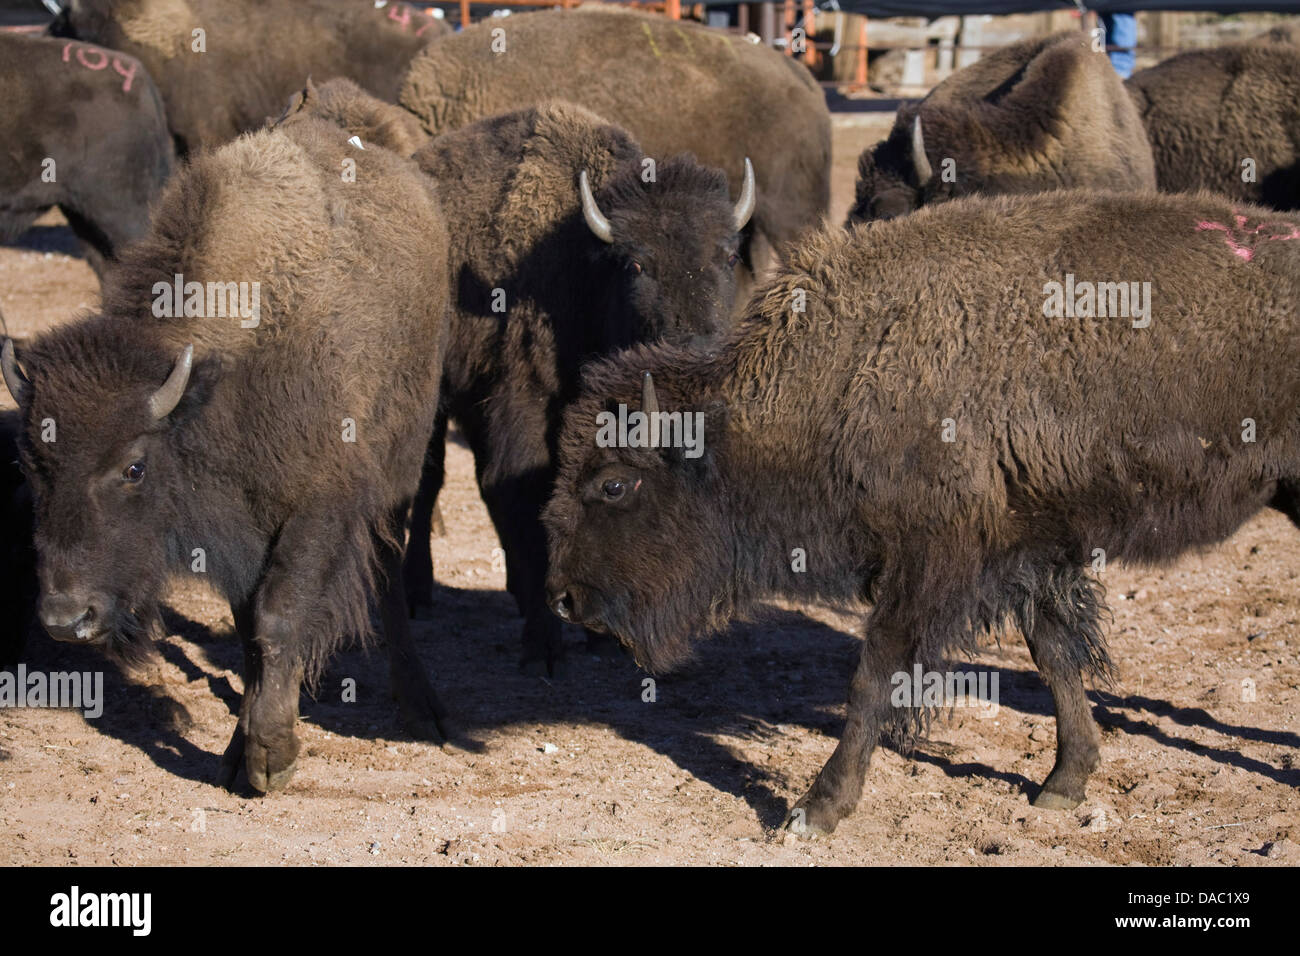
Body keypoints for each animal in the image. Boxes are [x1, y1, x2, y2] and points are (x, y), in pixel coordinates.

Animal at [1, 106, 452, 791]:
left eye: (134, 467)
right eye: (30, 468)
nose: (64, 618)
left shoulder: (318, 506)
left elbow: (277, 619)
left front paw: (271, 755)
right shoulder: (243, 532)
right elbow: (248, 633)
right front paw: (238, 754)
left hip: (398, 475)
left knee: (390, 573)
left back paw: (421, 707)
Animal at [545, 189, 1300, 835]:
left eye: (613, 485)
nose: (564, 599)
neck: (847, 368)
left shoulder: (930, 556)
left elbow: (876, 669)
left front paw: (814, 811)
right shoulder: (1027, 547)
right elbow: (1054, 653)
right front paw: (1063, 783)